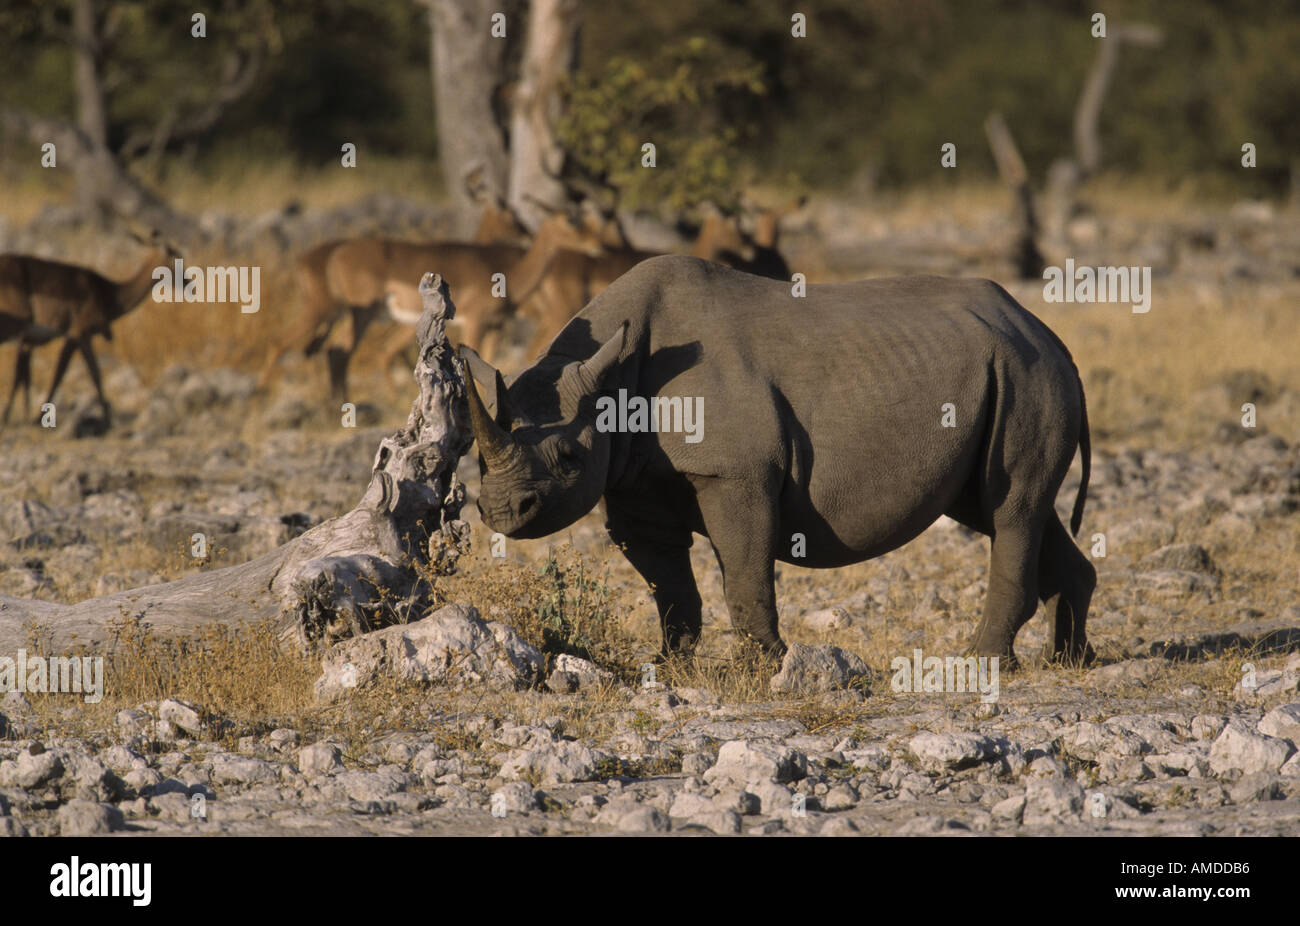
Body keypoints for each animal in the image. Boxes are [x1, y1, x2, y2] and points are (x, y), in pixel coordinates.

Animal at [460, 255, 1094, 667]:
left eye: (569, 456)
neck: (611, 381)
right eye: (478, 463)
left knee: (1010, 506)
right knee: (1002, 507)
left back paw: (983, 662)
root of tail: (1049, 333)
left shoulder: (733, 474)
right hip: (1011, 371)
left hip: (1027, 373)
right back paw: (1069, 661)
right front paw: (670, 664)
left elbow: (743, 568)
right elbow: (667, 578)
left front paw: (760, 668)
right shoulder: (633, 481)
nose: (502, 511)